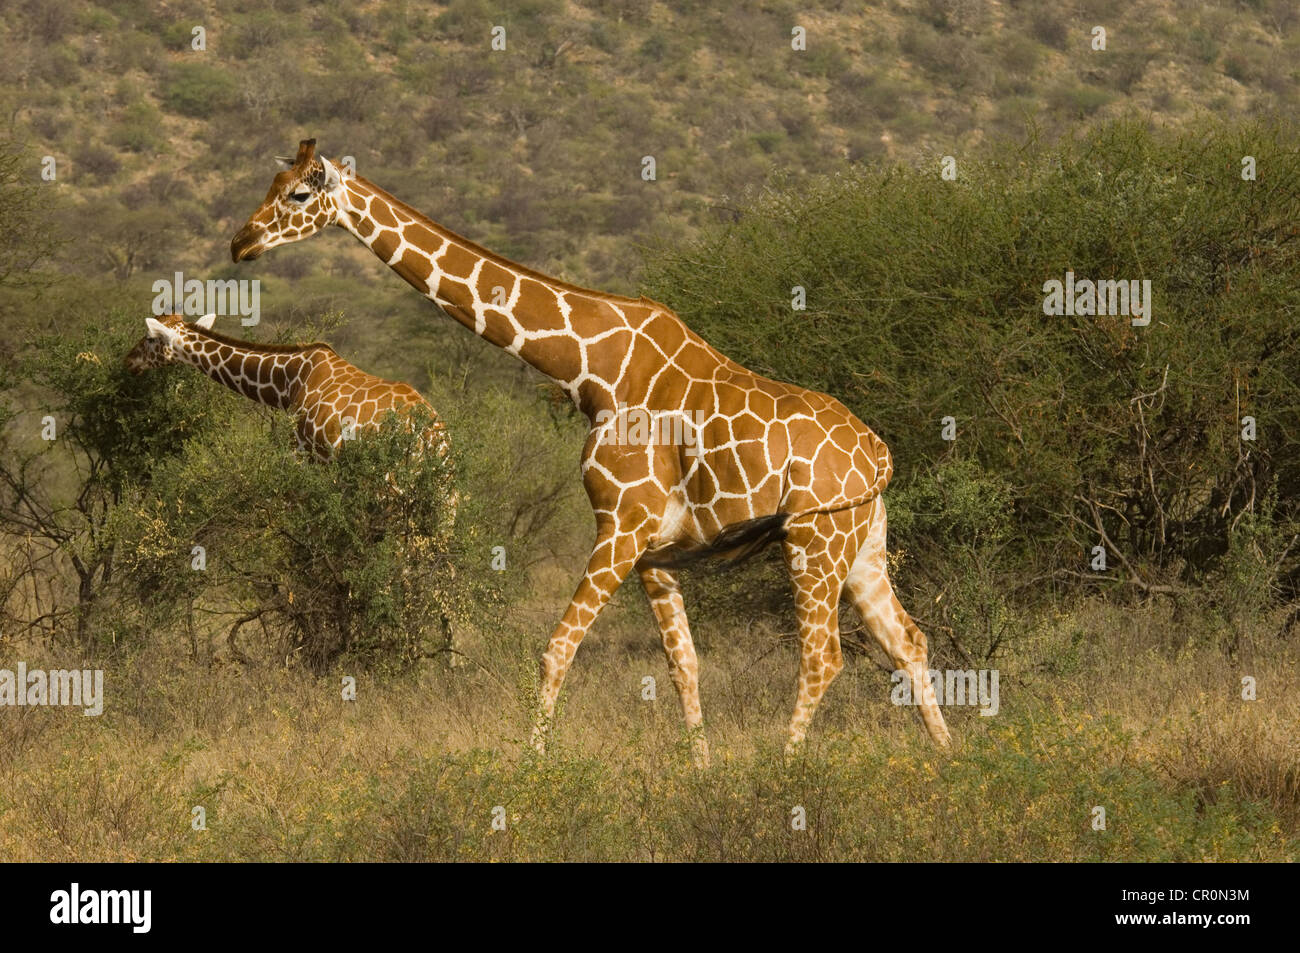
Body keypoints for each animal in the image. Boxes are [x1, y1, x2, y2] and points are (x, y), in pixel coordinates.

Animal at [231, 139, 951, 763]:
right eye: (268, 184)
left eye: (298, 194)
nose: (240, 242)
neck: (592, 370)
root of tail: (879, 453)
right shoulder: (656, 549)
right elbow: (683, 665)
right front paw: (702, 770)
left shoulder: (620, 525)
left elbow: (555, 650)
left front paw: (531, 766)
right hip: (862, 540)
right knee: (908, 640)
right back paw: (947, 757)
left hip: (814, 536)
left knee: (824, 655)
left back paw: (784, 764)